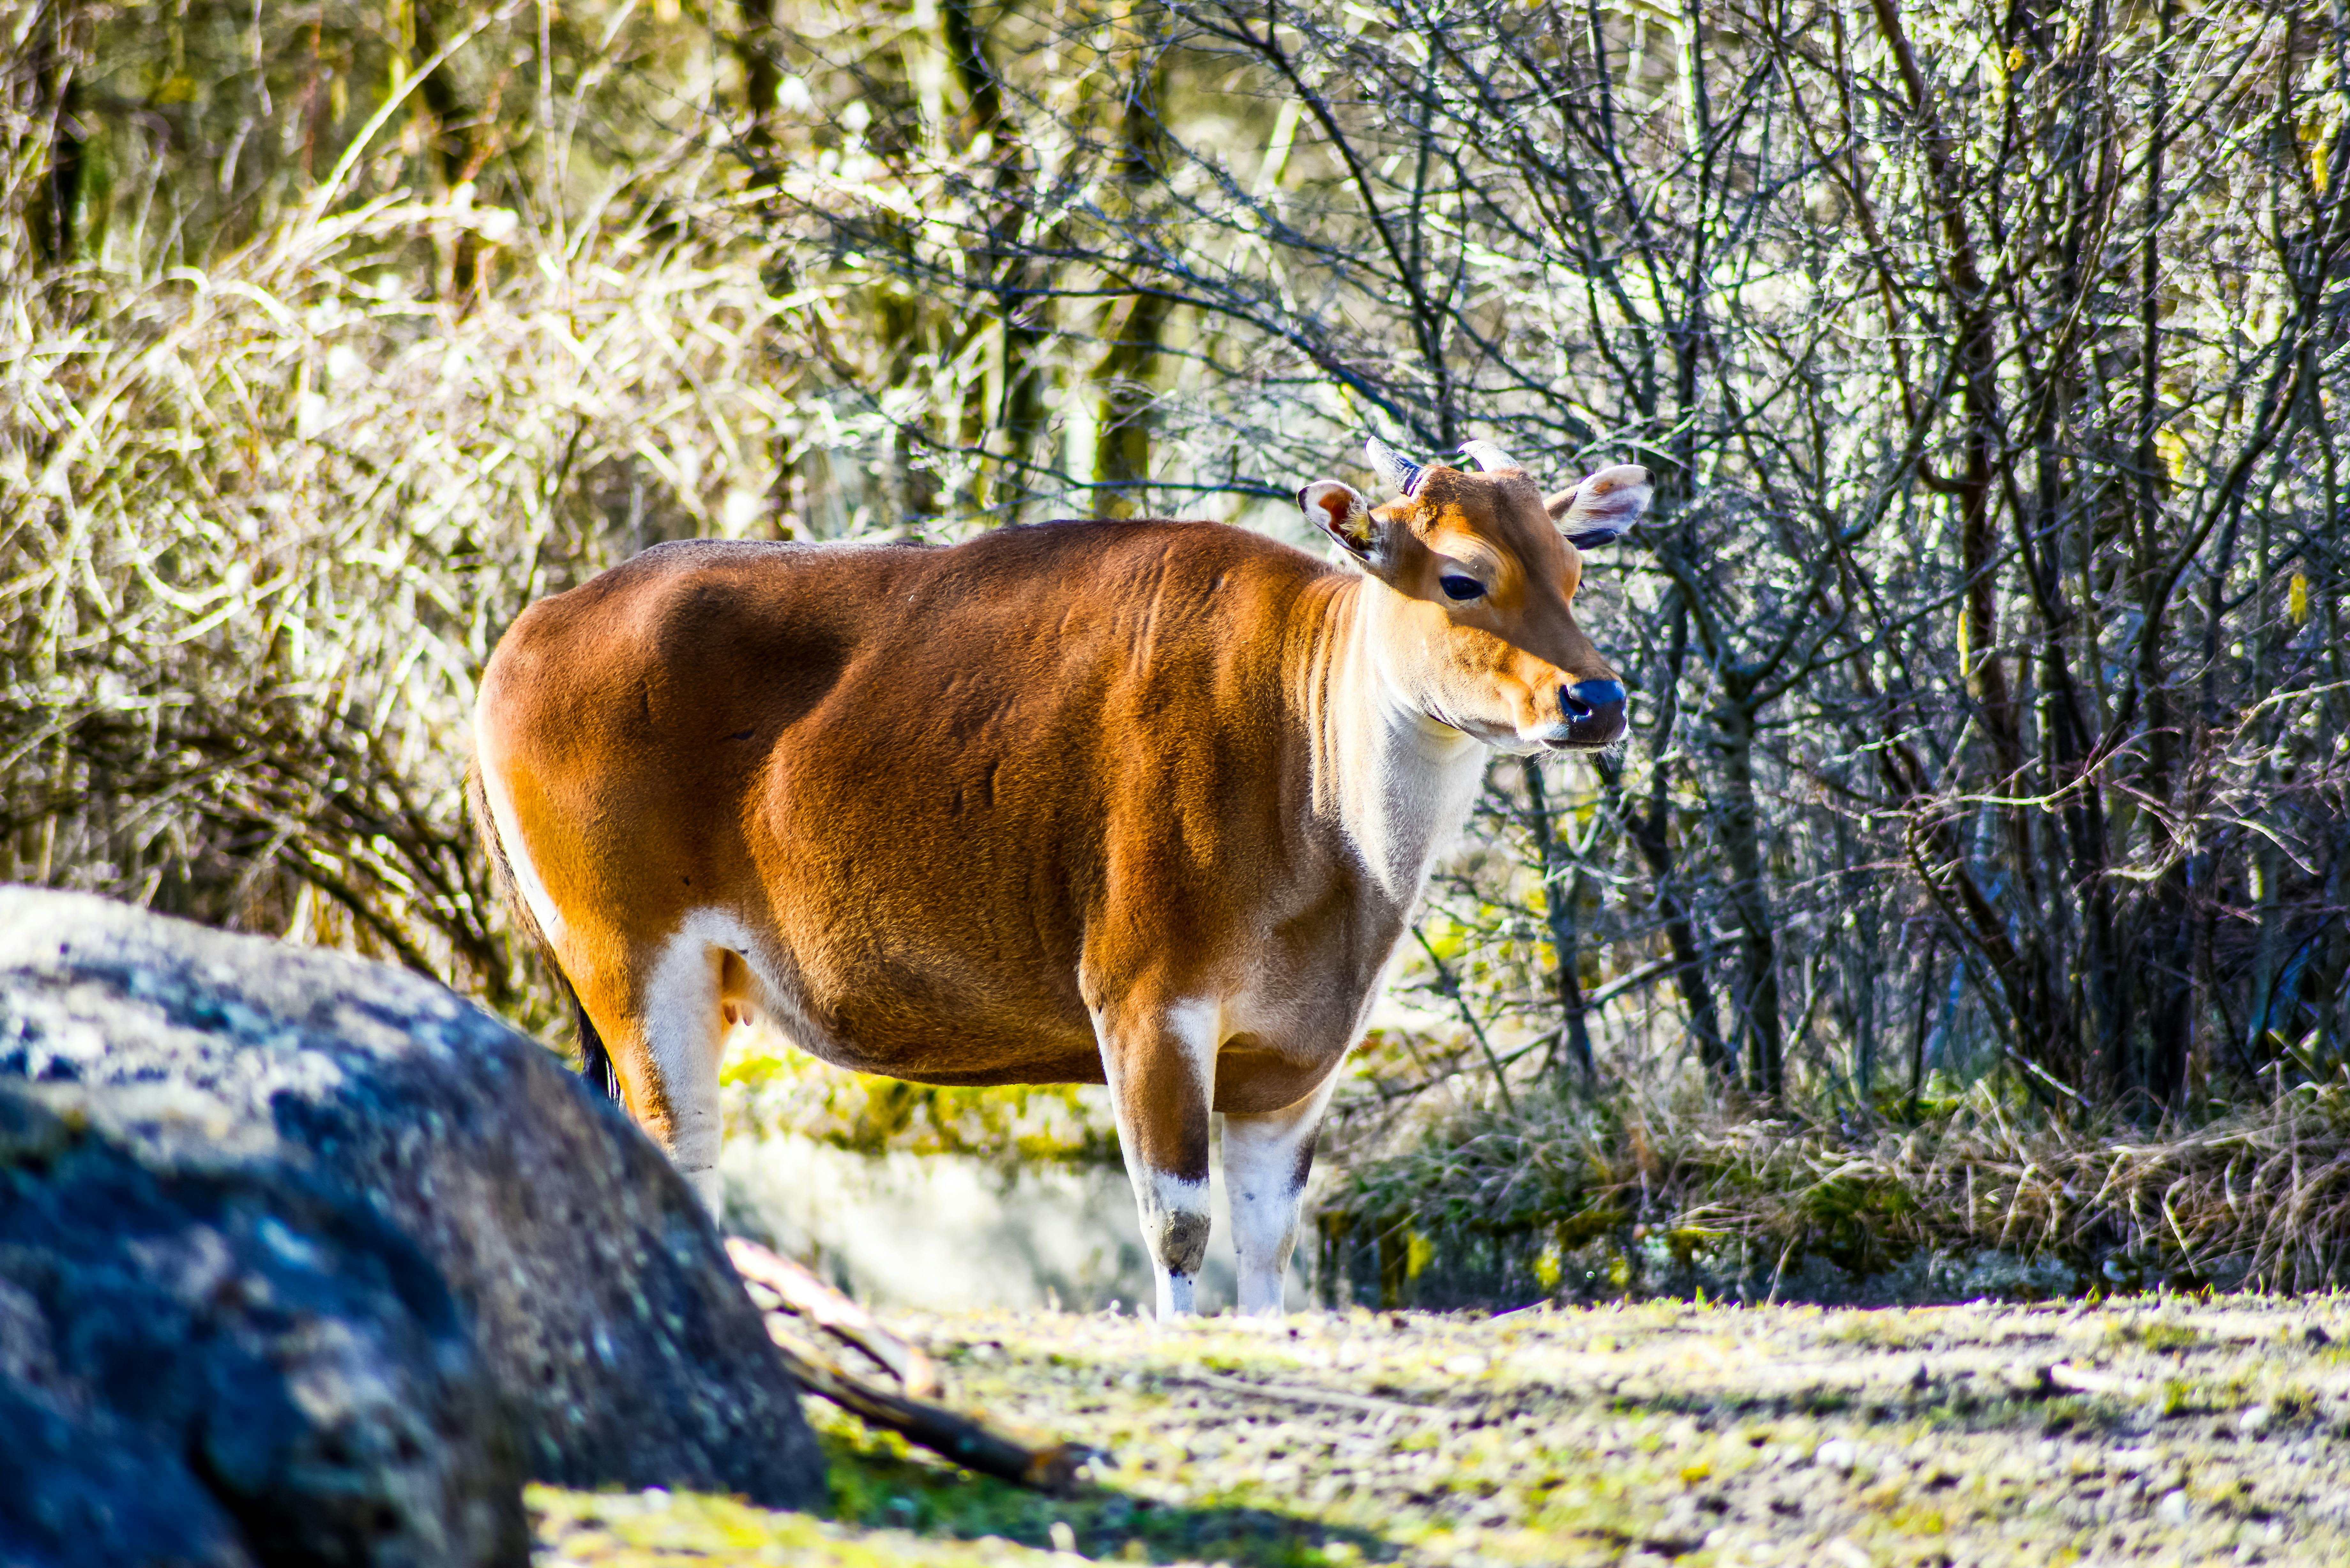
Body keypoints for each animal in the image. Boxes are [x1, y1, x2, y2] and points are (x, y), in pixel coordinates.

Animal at [470, 435, 1647, 1318]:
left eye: (1576, 573)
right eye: (1462, 577)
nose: (1597, 700)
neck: (1309, 760)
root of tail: (526, 635)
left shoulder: (1294, 1060)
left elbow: (1269, 1241)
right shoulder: (1147, 1006)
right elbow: (1179, 1224)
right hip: (634, 968)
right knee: (681, 1156)